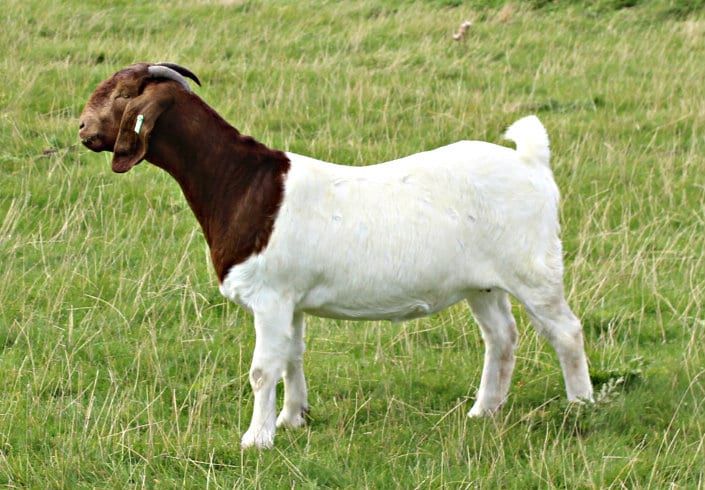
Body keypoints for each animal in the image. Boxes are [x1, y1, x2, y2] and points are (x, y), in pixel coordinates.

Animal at [79, 63, 593, 449]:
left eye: (121, 94)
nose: (82, 128)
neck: (241, 183)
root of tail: (530, 162)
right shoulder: (290, 300)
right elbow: (292, 356)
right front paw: (291, 419)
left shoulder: (270, 296)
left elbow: (263, 369)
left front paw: (255, 440)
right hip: (482, 283)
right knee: (501, 337)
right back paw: (483, 411)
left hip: (533, 268)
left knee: (566, 331)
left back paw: (580, 405)